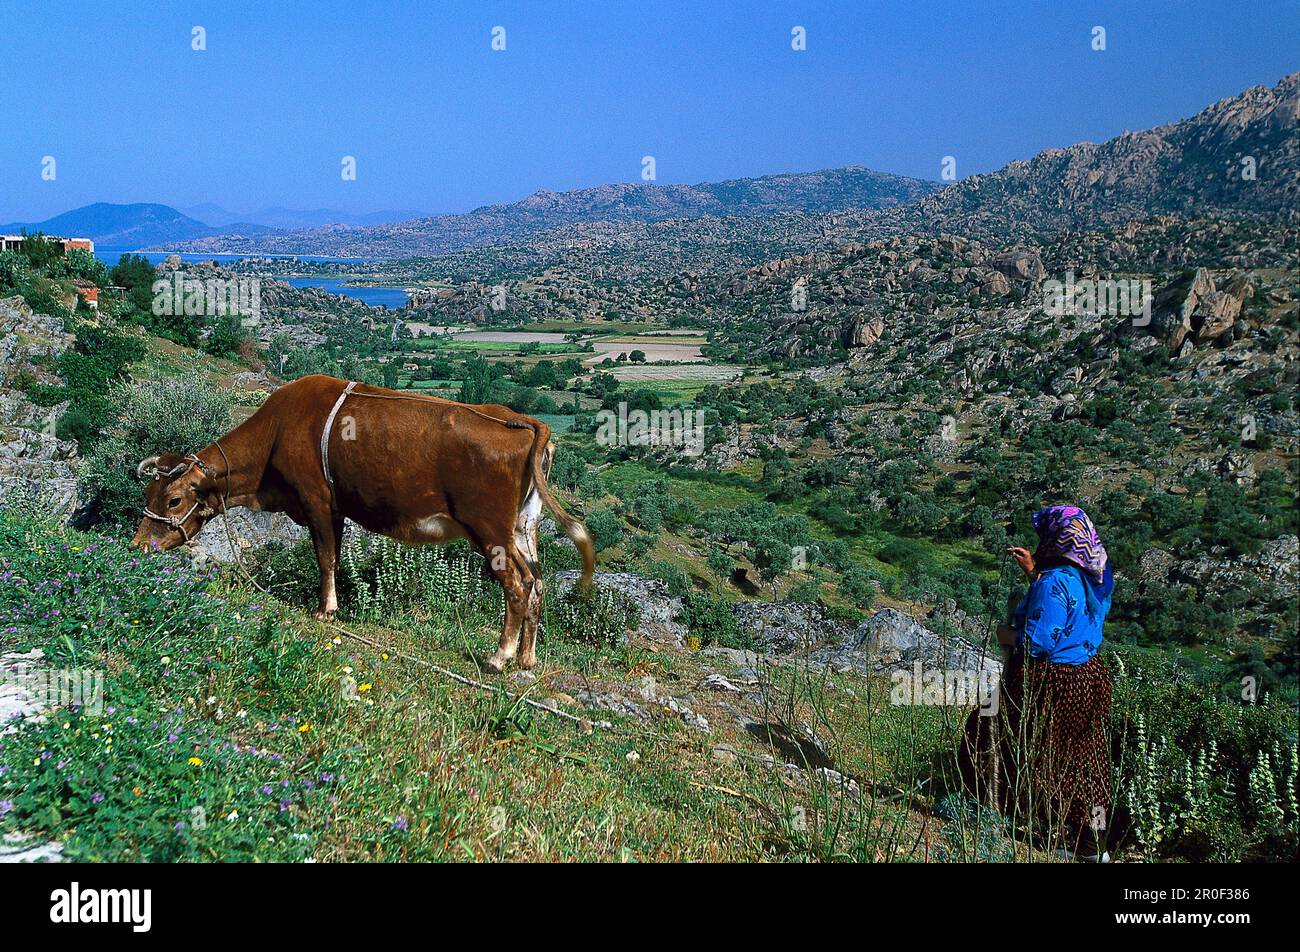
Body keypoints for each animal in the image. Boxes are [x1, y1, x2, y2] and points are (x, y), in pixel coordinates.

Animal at [131, 374, 595, 673]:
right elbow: (334, 557)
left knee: (518, 584)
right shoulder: (334, 507)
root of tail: (525, 422)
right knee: (538, 581)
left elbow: (325, 558)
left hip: (489, 528)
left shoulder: (316, 500)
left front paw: (325, 611)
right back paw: (527, 659)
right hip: (522, 525)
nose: (138, 546)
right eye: (148, 496)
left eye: (173, 499)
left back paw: (500, 657)